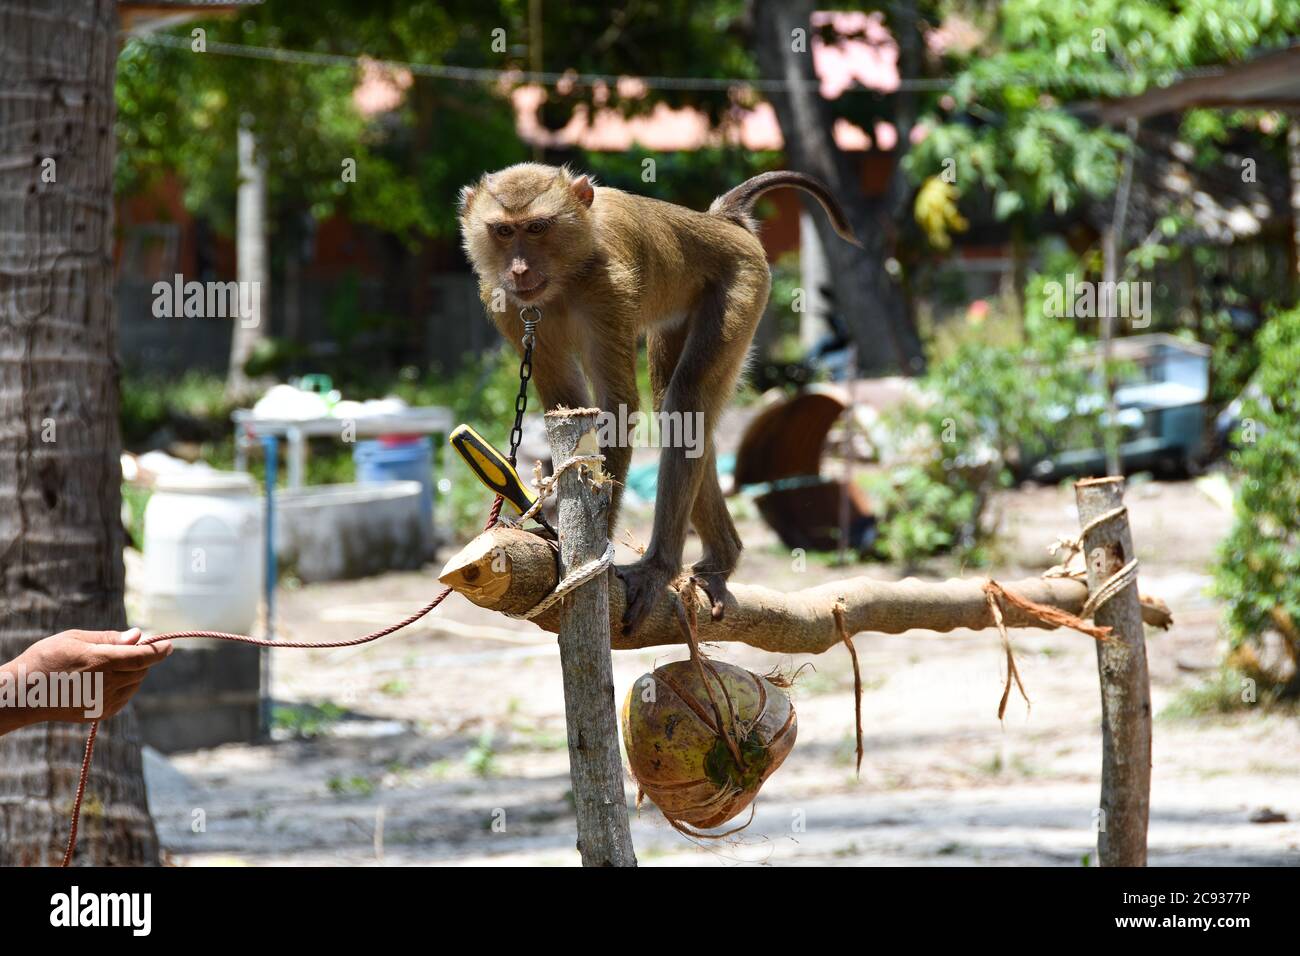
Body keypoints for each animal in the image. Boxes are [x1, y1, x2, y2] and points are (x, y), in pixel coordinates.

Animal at [458, 164, 858, 634]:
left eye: (537, 227)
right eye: (503, 231)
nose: (519, 269)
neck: (569, 272)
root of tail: (720, 220)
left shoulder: (608, 291)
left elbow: (618, 407)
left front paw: (593, 546)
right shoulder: (506, 303)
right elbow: (566, 402)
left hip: (742, 281)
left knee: (685, 401)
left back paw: (662, 568)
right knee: (678, 401)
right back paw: (722, 558)